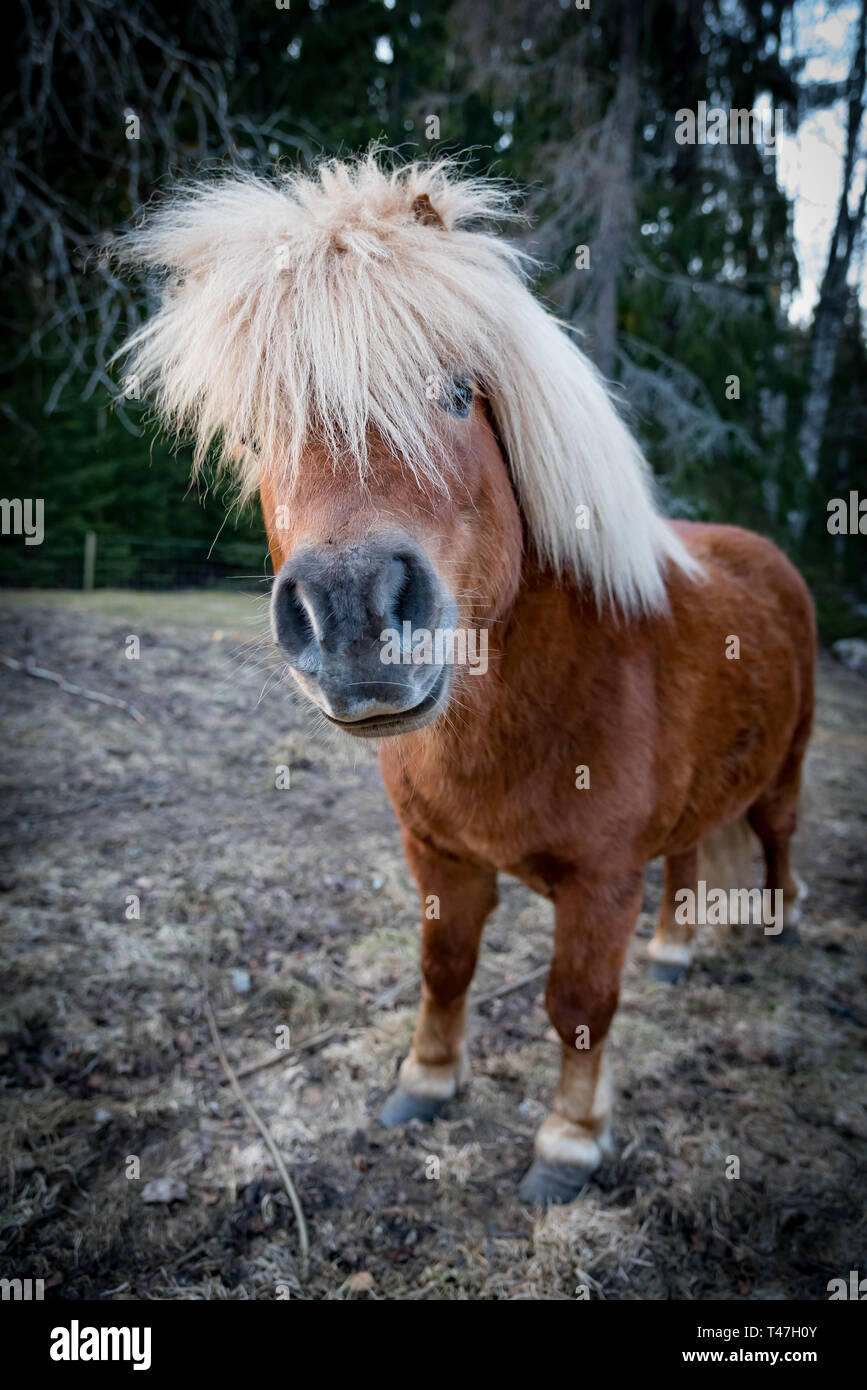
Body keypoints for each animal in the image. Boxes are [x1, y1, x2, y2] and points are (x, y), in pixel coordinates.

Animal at [114, 155, 816, 1205]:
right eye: (255, 435)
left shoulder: (600, 882)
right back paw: (673, 952)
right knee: (692, 855)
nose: (352, 615)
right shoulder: (438, 855)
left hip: (783, 774)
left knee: (772, 844)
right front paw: (427, 1080)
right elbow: (444, 967)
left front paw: (568, 1141)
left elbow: (578, 1003)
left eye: (453, 394)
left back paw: (774, 932)